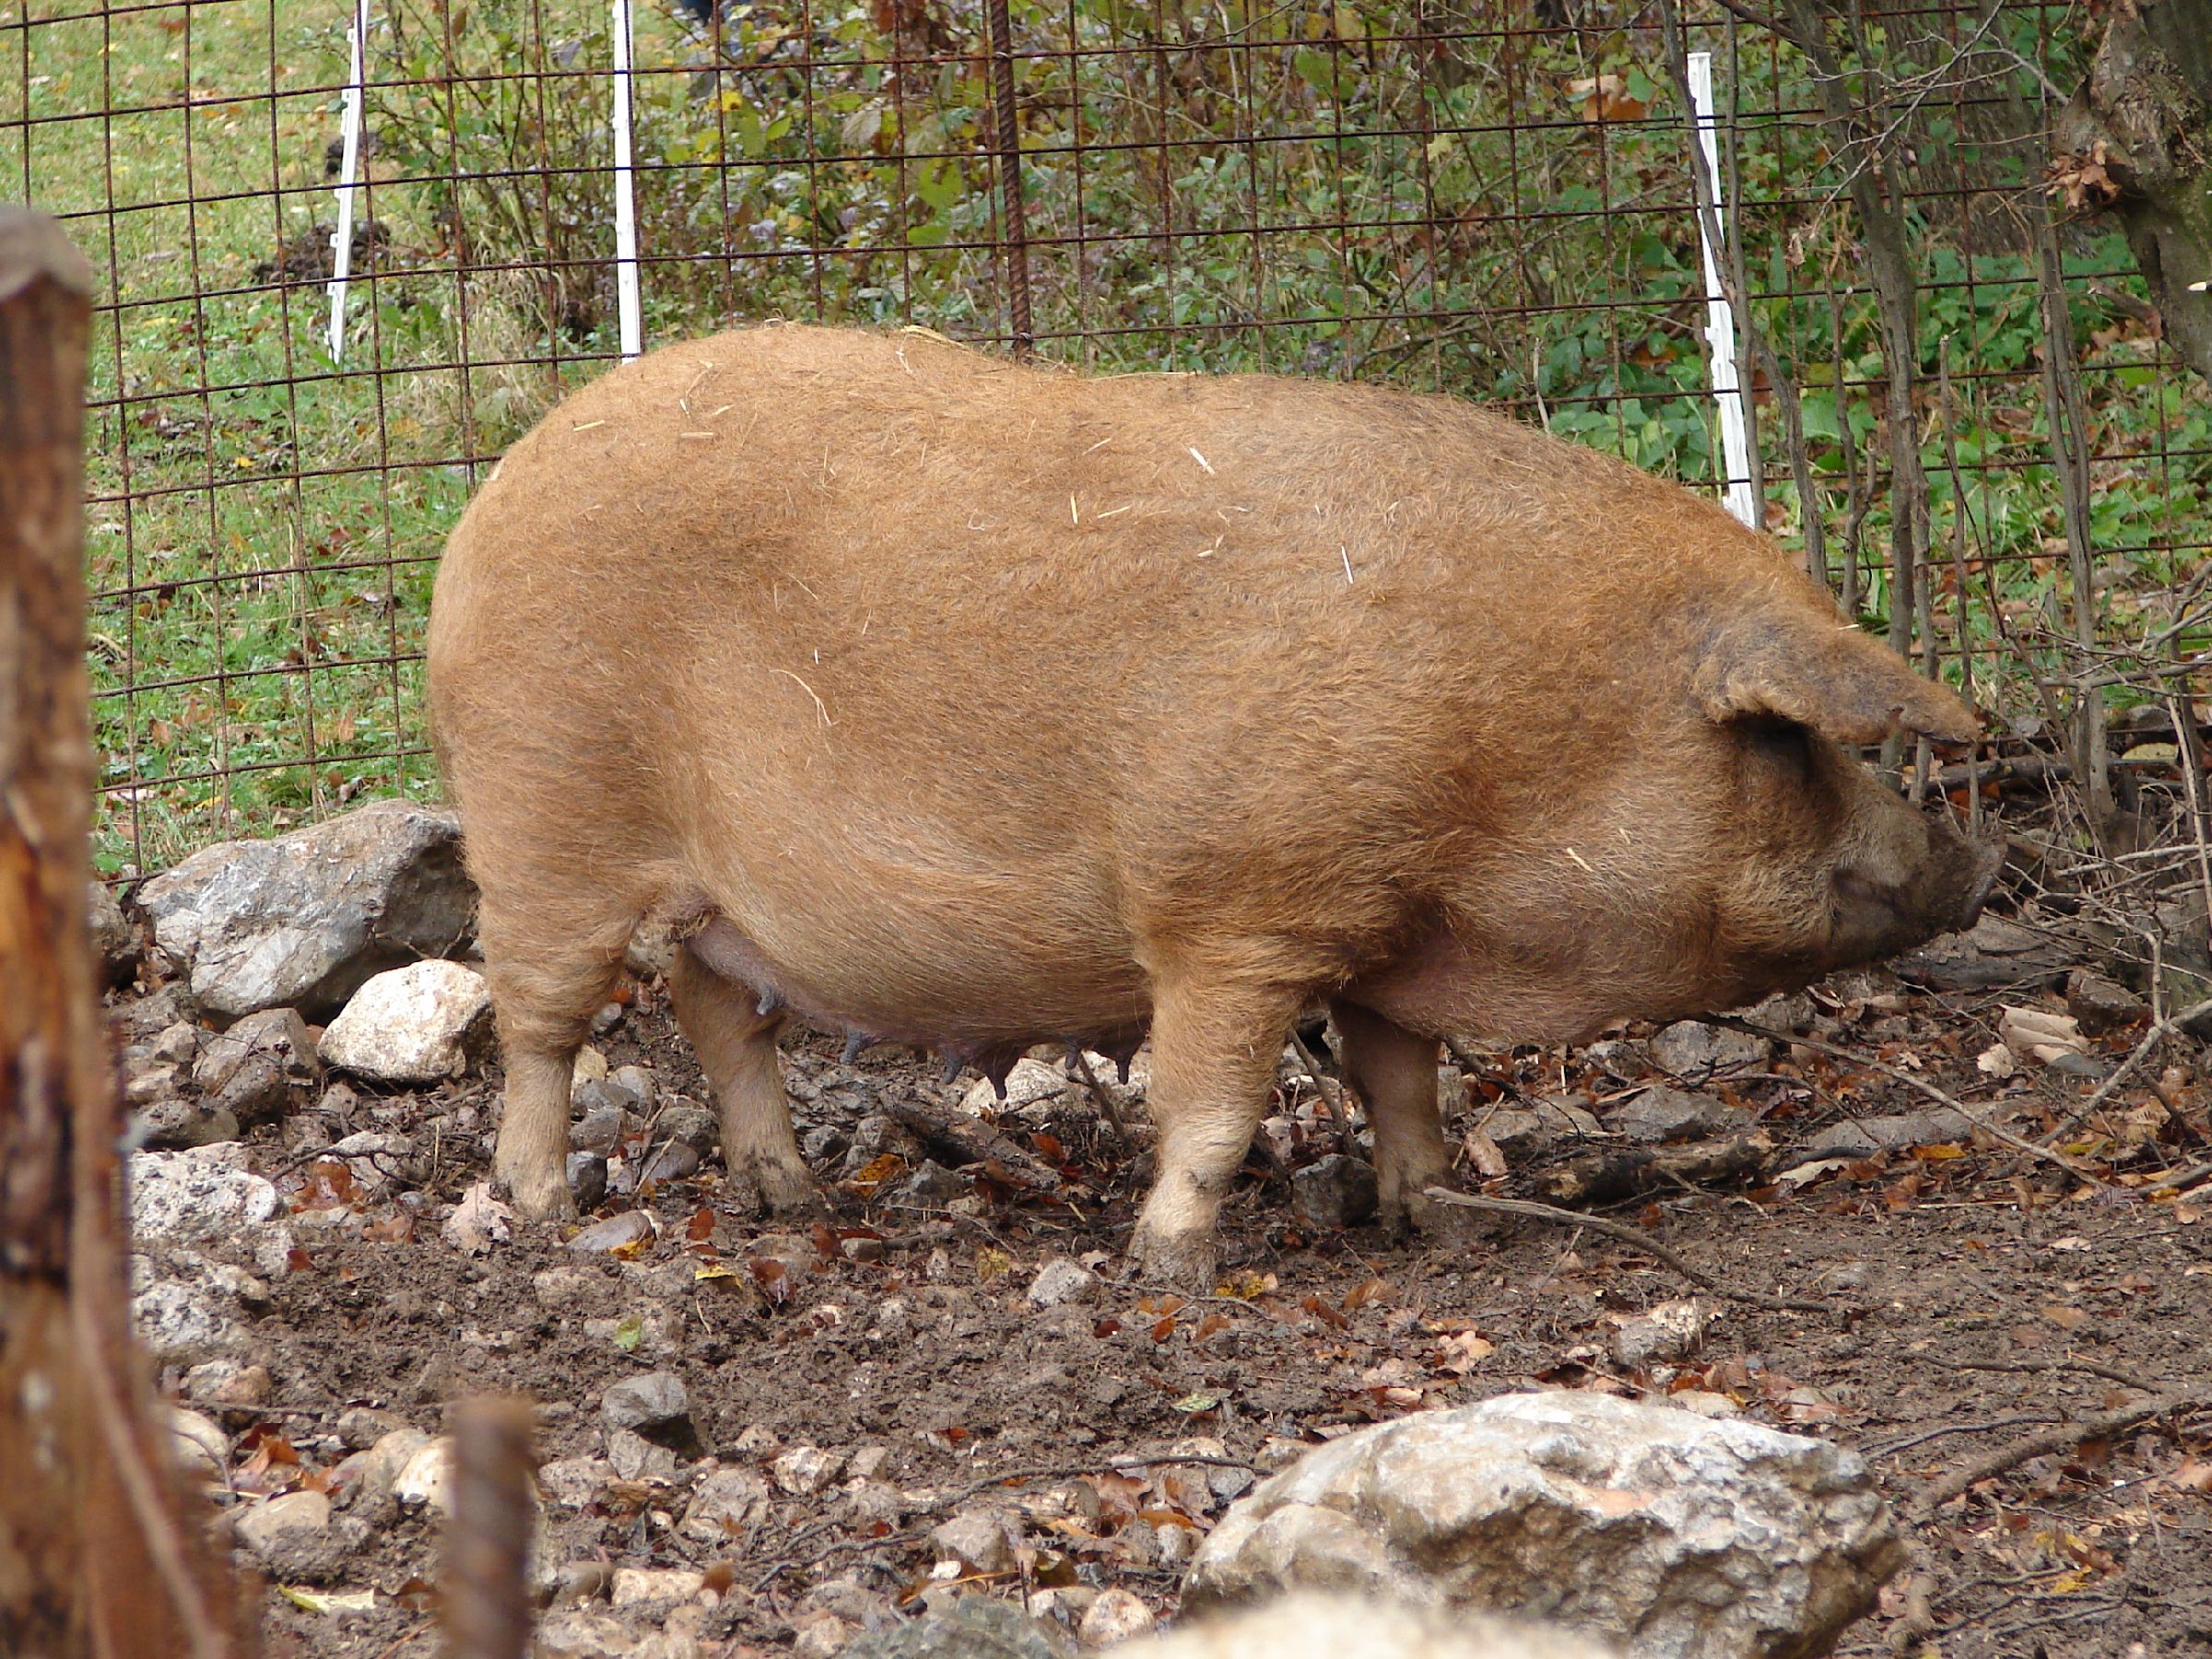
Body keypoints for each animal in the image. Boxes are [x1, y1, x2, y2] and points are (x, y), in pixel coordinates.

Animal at [427, 323, 1999, 1282]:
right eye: (1783, 746)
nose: (1970, 864)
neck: (1510, 752)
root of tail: (489, 498)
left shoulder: (1379, 932)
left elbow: (1399, 1077)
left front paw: (1428, 1219)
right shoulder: (1233, 909)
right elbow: (1213, 1099)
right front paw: (1169, 1260)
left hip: (710, 898)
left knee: (718, 1015)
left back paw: (790, 1198)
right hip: (543, 813)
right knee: (540, 1022)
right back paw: (541, 1211)